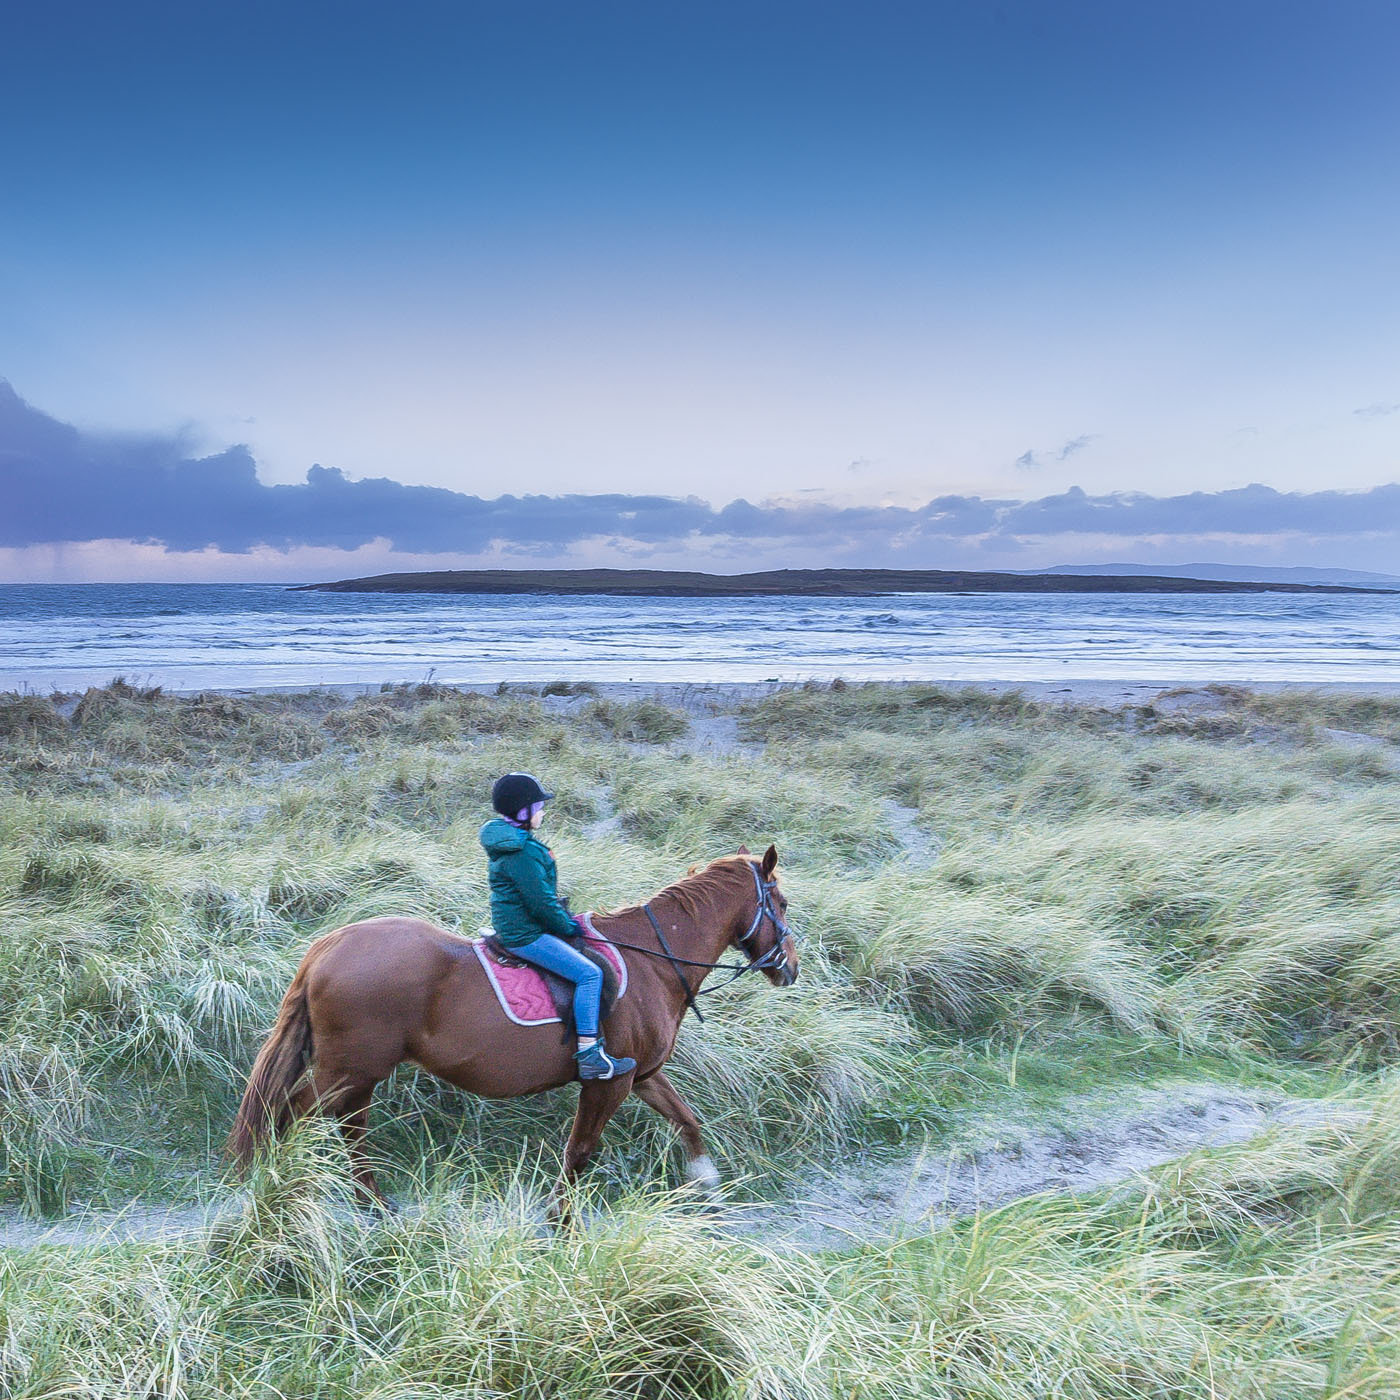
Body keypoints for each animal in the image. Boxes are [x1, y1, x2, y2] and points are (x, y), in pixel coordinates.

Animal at [227, 845, 795, 1213]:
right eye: (782, 904)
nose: (790, 967)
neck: (652, 961)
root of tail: (330, 945)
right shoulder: (608, 1082)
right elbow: (580, 1151)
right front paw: (560, 1222)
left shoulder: (642, 1075)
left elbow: (687, 1120)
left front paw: (708, 1183)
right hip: (348, 1068)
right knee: (292, 1114)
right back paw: (281, 1186)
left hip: (360, 1071)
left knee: (349, 1124)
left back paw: (373, 1200)